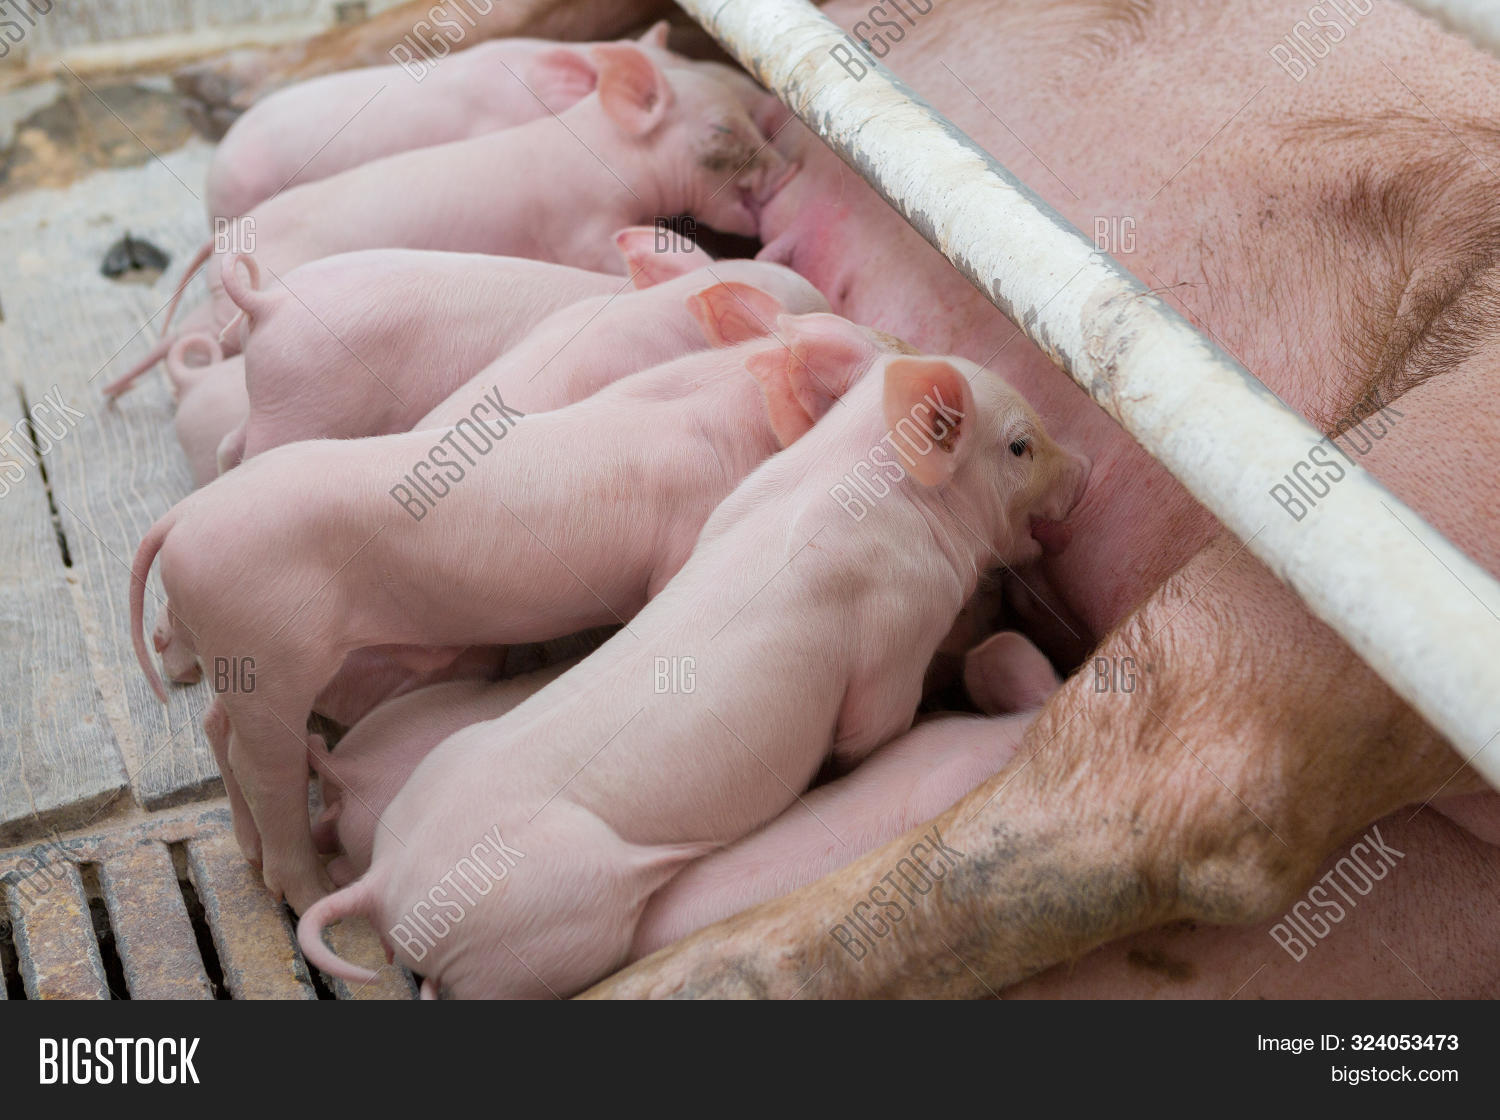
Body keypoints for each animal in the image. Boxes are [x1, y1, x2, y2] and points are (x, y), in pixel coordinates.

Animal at [128, 287, 885, 912]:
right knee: (265, 766)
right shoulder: (680, 544)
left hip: (243, 651)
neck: (724, 405)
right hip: (273, 642)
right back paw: (309, 893)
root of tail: (184, 517)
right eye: (861, 361)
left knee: (220, 728)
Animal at [297, 338, 1090, 998]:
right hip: (550, 926)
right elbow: (874, 730)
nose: (1086, 470)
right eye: (1020, 446)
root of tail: (389, 883)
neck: (851, 477)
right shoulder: (895, 635)